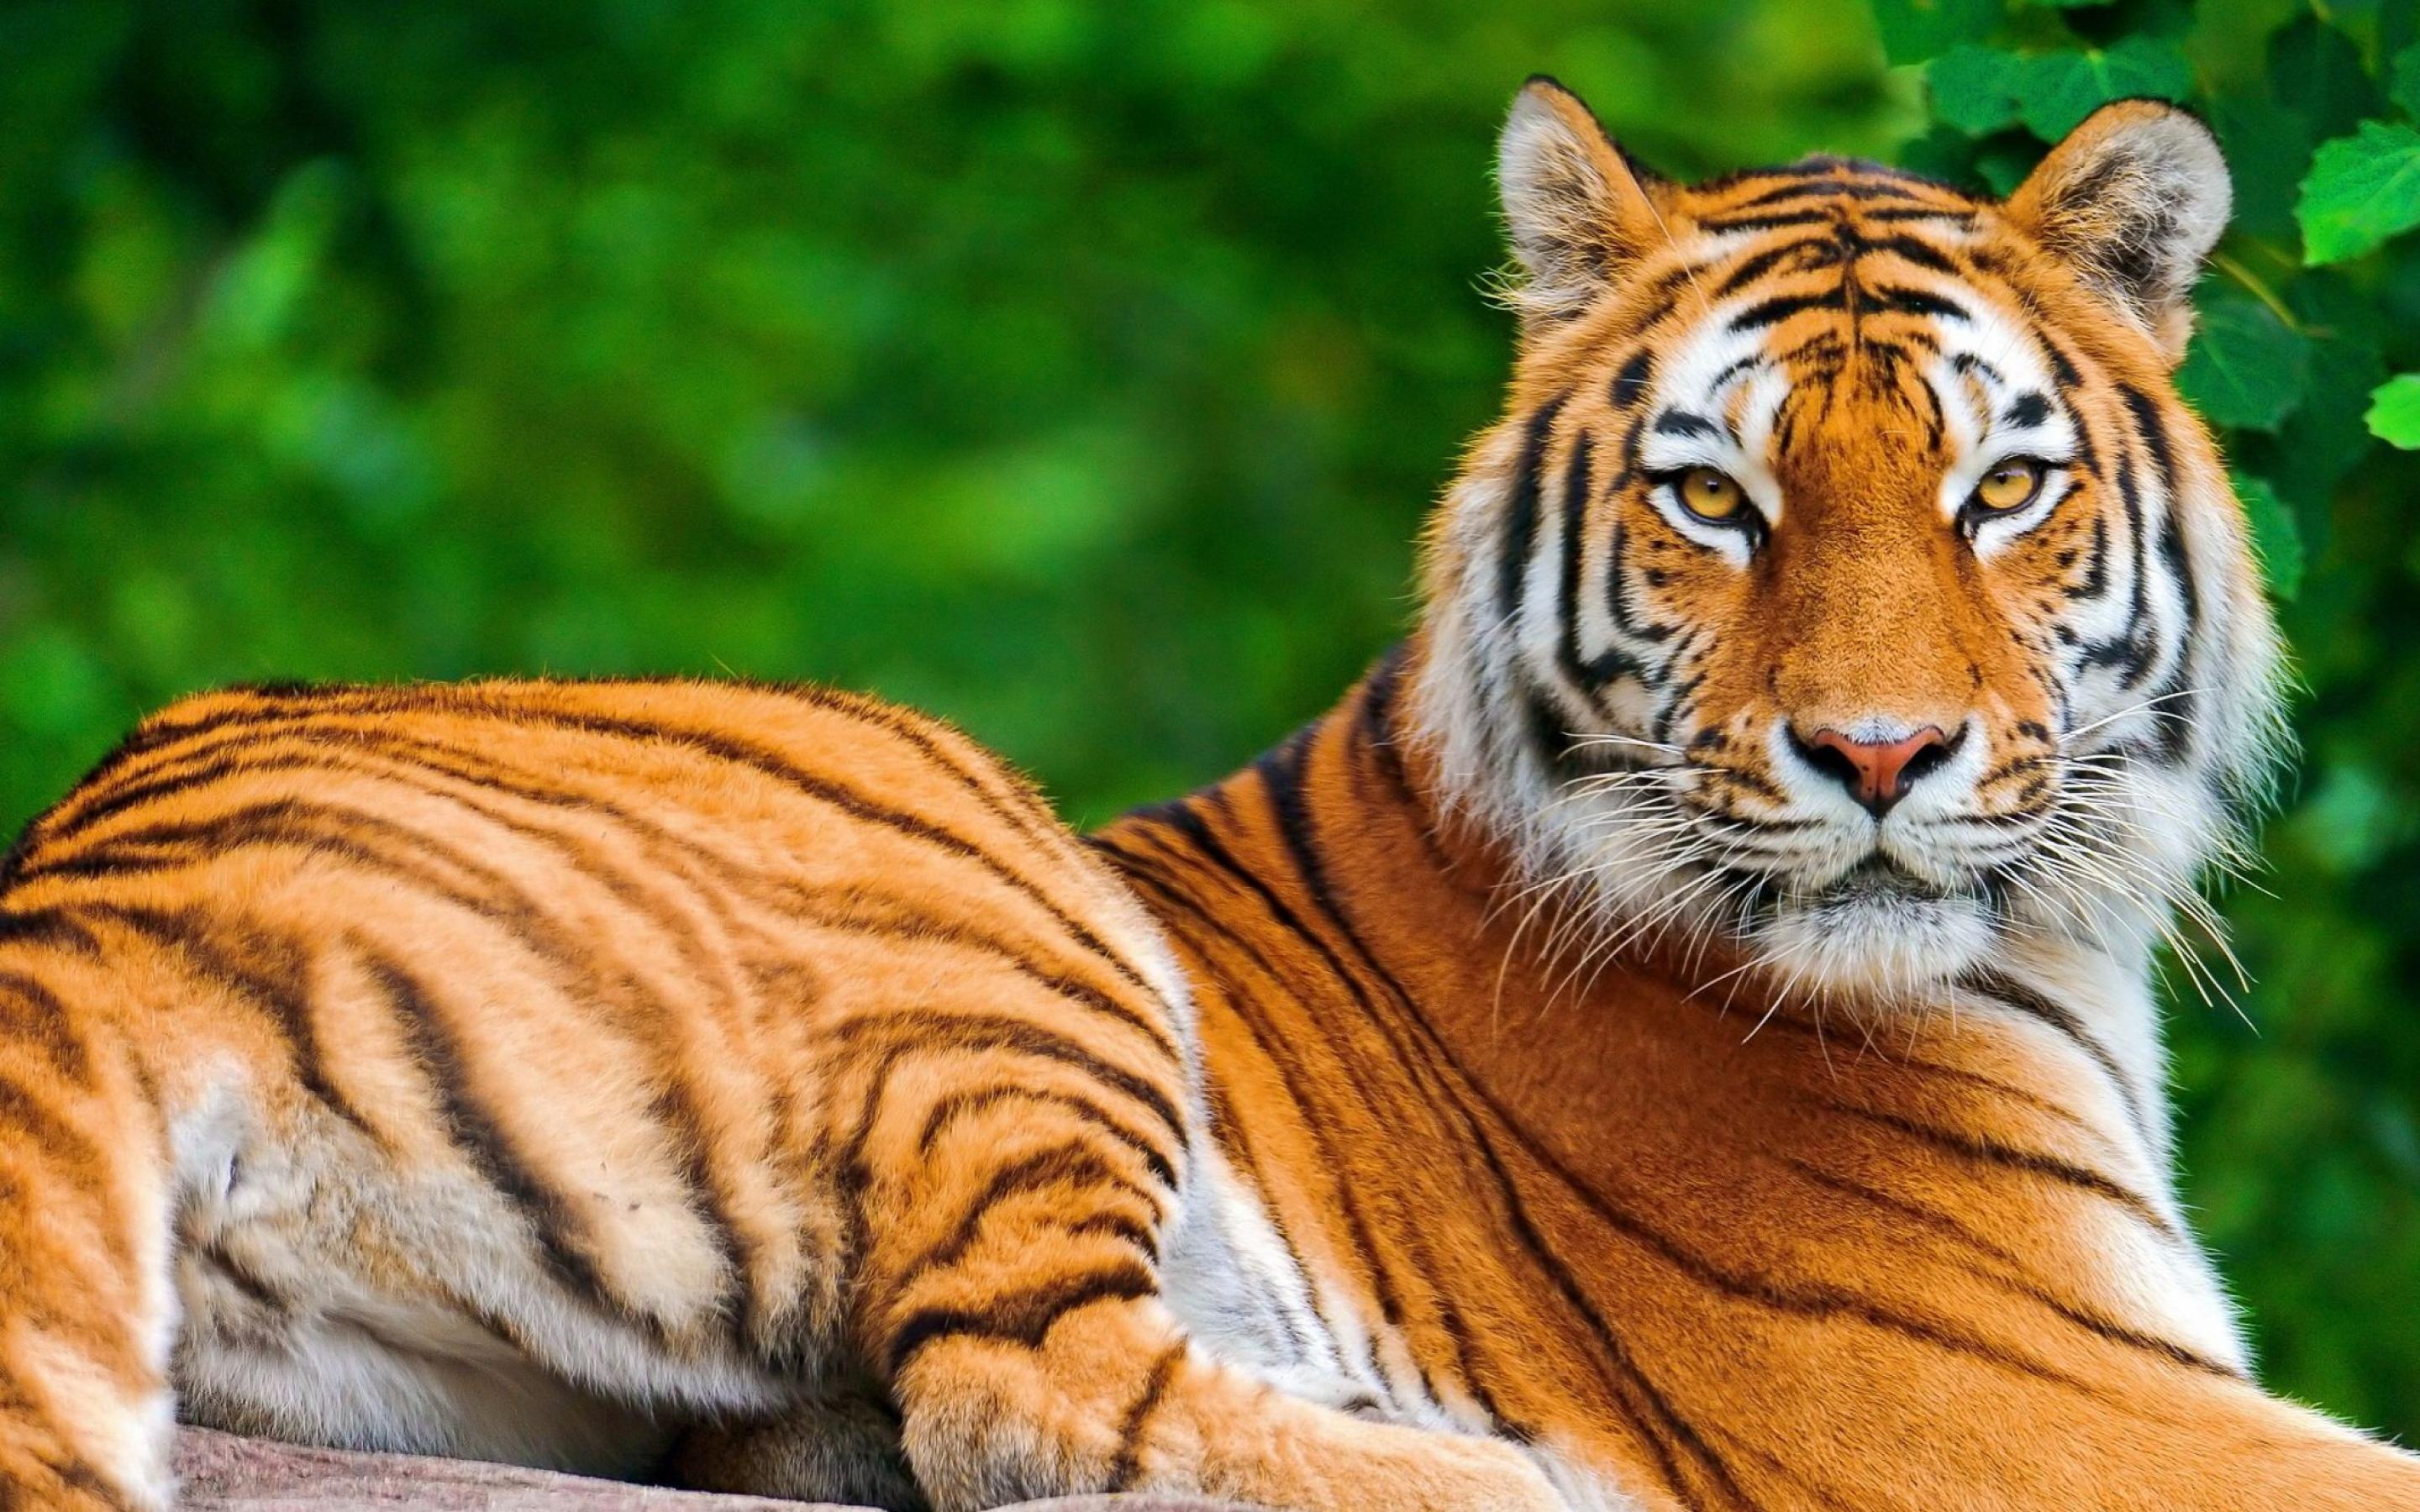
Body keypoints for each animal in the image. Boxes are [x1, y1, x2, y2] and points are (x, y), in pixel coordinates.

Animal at [0, 73, 2414, 1512]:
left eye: (2001, 488)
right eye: (1711, 500)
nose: (1884, 756)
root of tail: (82, 889)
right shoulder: (2031, 1403)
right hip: (970, 868)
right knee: (1024, 1387)